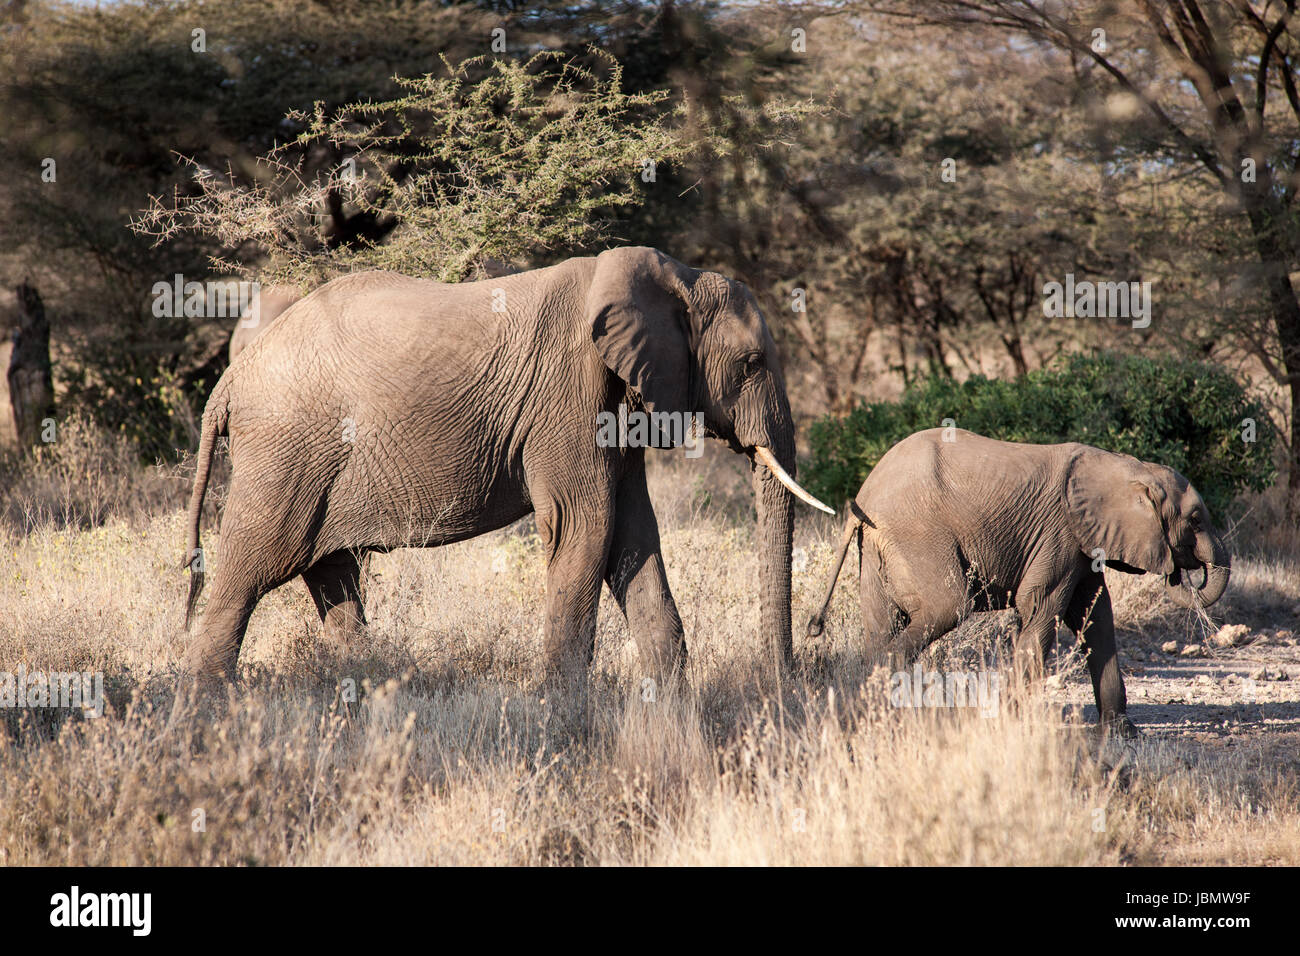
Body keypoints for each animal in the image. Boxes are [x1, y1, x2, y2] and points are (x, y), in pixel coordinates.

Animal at [181, 246, 834, 685]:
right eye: (752, 363)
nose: (785, 683)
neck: (676, 276)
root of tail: (230, 380)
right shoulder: (569, 397)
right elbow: (586, 529)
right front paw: (564, 711)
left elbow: (633, 534)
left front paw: (673, 707)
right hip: (285, 453)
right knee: (246, 575)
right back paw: (205, 711)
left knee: (331, 577)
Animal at [806, 428, 1231, 736]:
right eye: (1195, 520)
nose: (1184, 573)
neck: (1126, 467)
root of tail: (863, 497)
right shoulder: (1061, 533)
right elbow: (1041, 609)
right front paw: (1008, 723)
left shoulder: (1080, 541)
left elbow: (1095, 616)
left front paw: (1121, 733)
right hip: (917, 532)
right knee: (948, 605)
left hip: (876, 550)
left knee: (881, 624)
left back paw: (871, 704)